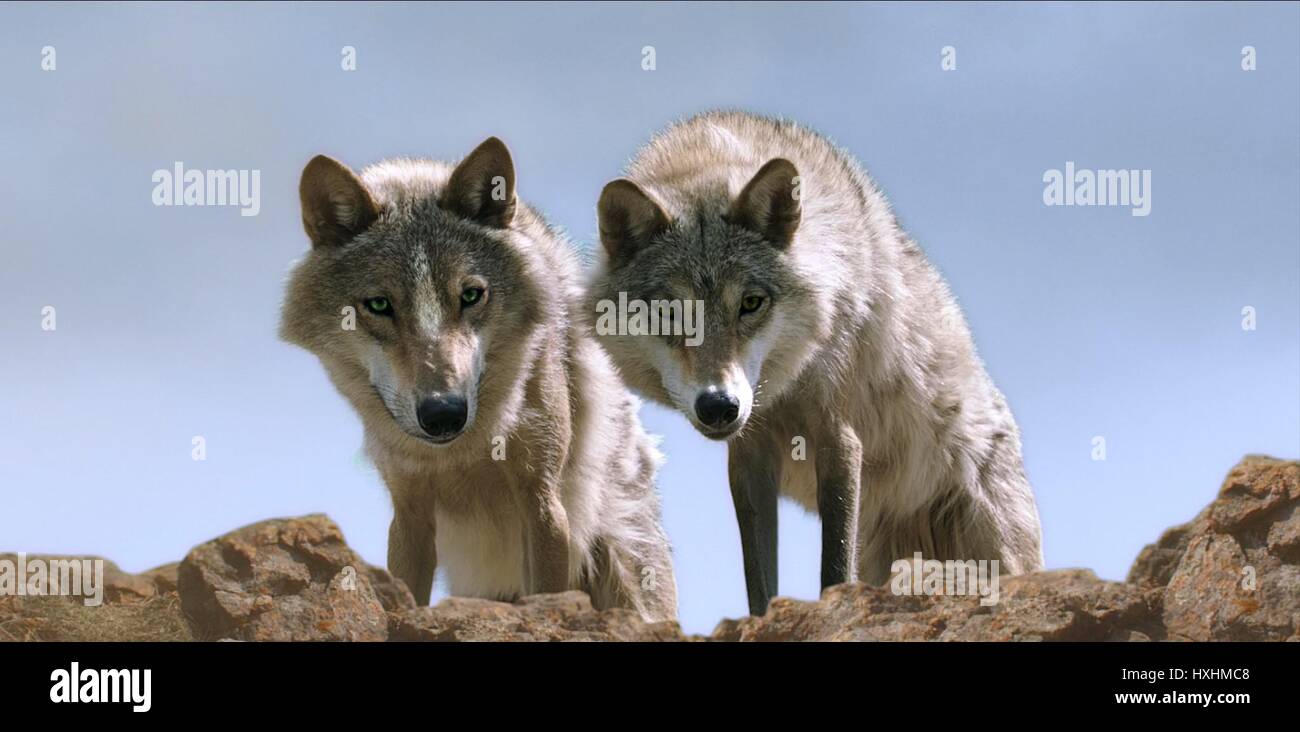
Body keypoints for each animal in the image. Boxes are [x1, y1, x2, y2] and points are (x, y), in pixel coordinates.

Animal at [280, 137, 677, 622]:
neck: (463, 453)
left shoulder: (543, 503)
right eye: (378, 305)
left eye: (471, 295)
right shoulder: (409, 512)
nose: (443, 413)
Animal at [588, 111, 1043, 616]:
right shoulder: (750, 457)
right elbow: (760, 583)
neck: (788, 381)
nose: (719, 406)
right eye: (670, 313)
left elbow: (834, 569)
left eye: (750, 303)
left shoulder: (839, 438)